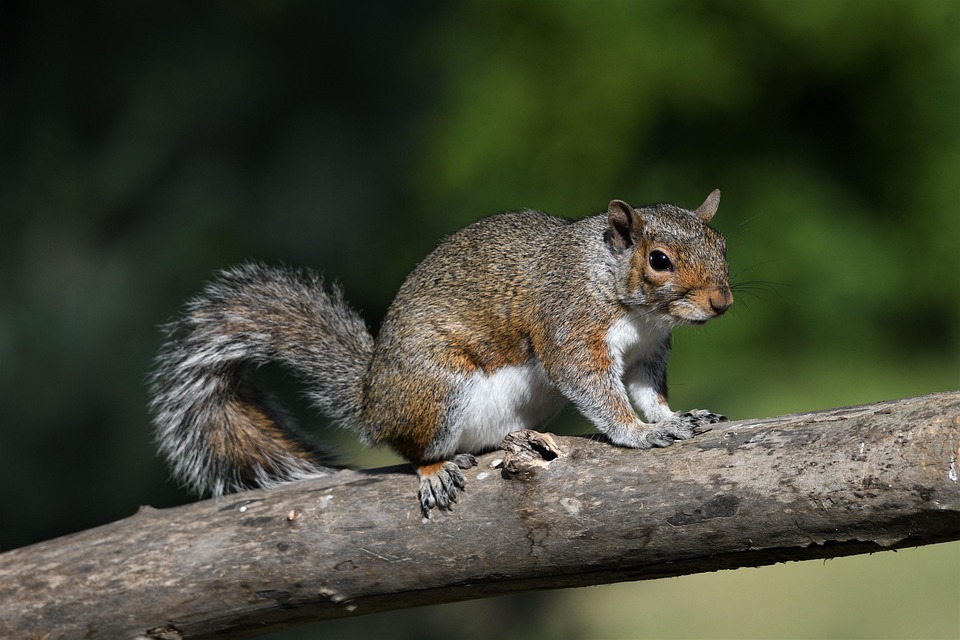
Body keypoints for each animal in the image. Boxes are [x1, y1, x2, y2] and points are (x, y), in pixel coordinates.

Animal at [150, 190, 733, 517]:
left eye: (721, 243)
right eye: (658, 260)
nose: (722, 303)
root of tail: (372, 403)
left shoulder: (646, 355)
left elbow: (647, 393)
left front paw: (674, 418)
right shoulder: (570, 328)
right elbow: (595, 389)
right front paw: (638, 434)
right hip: (436, 390)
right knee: (412, 447)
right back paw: (435, 469)